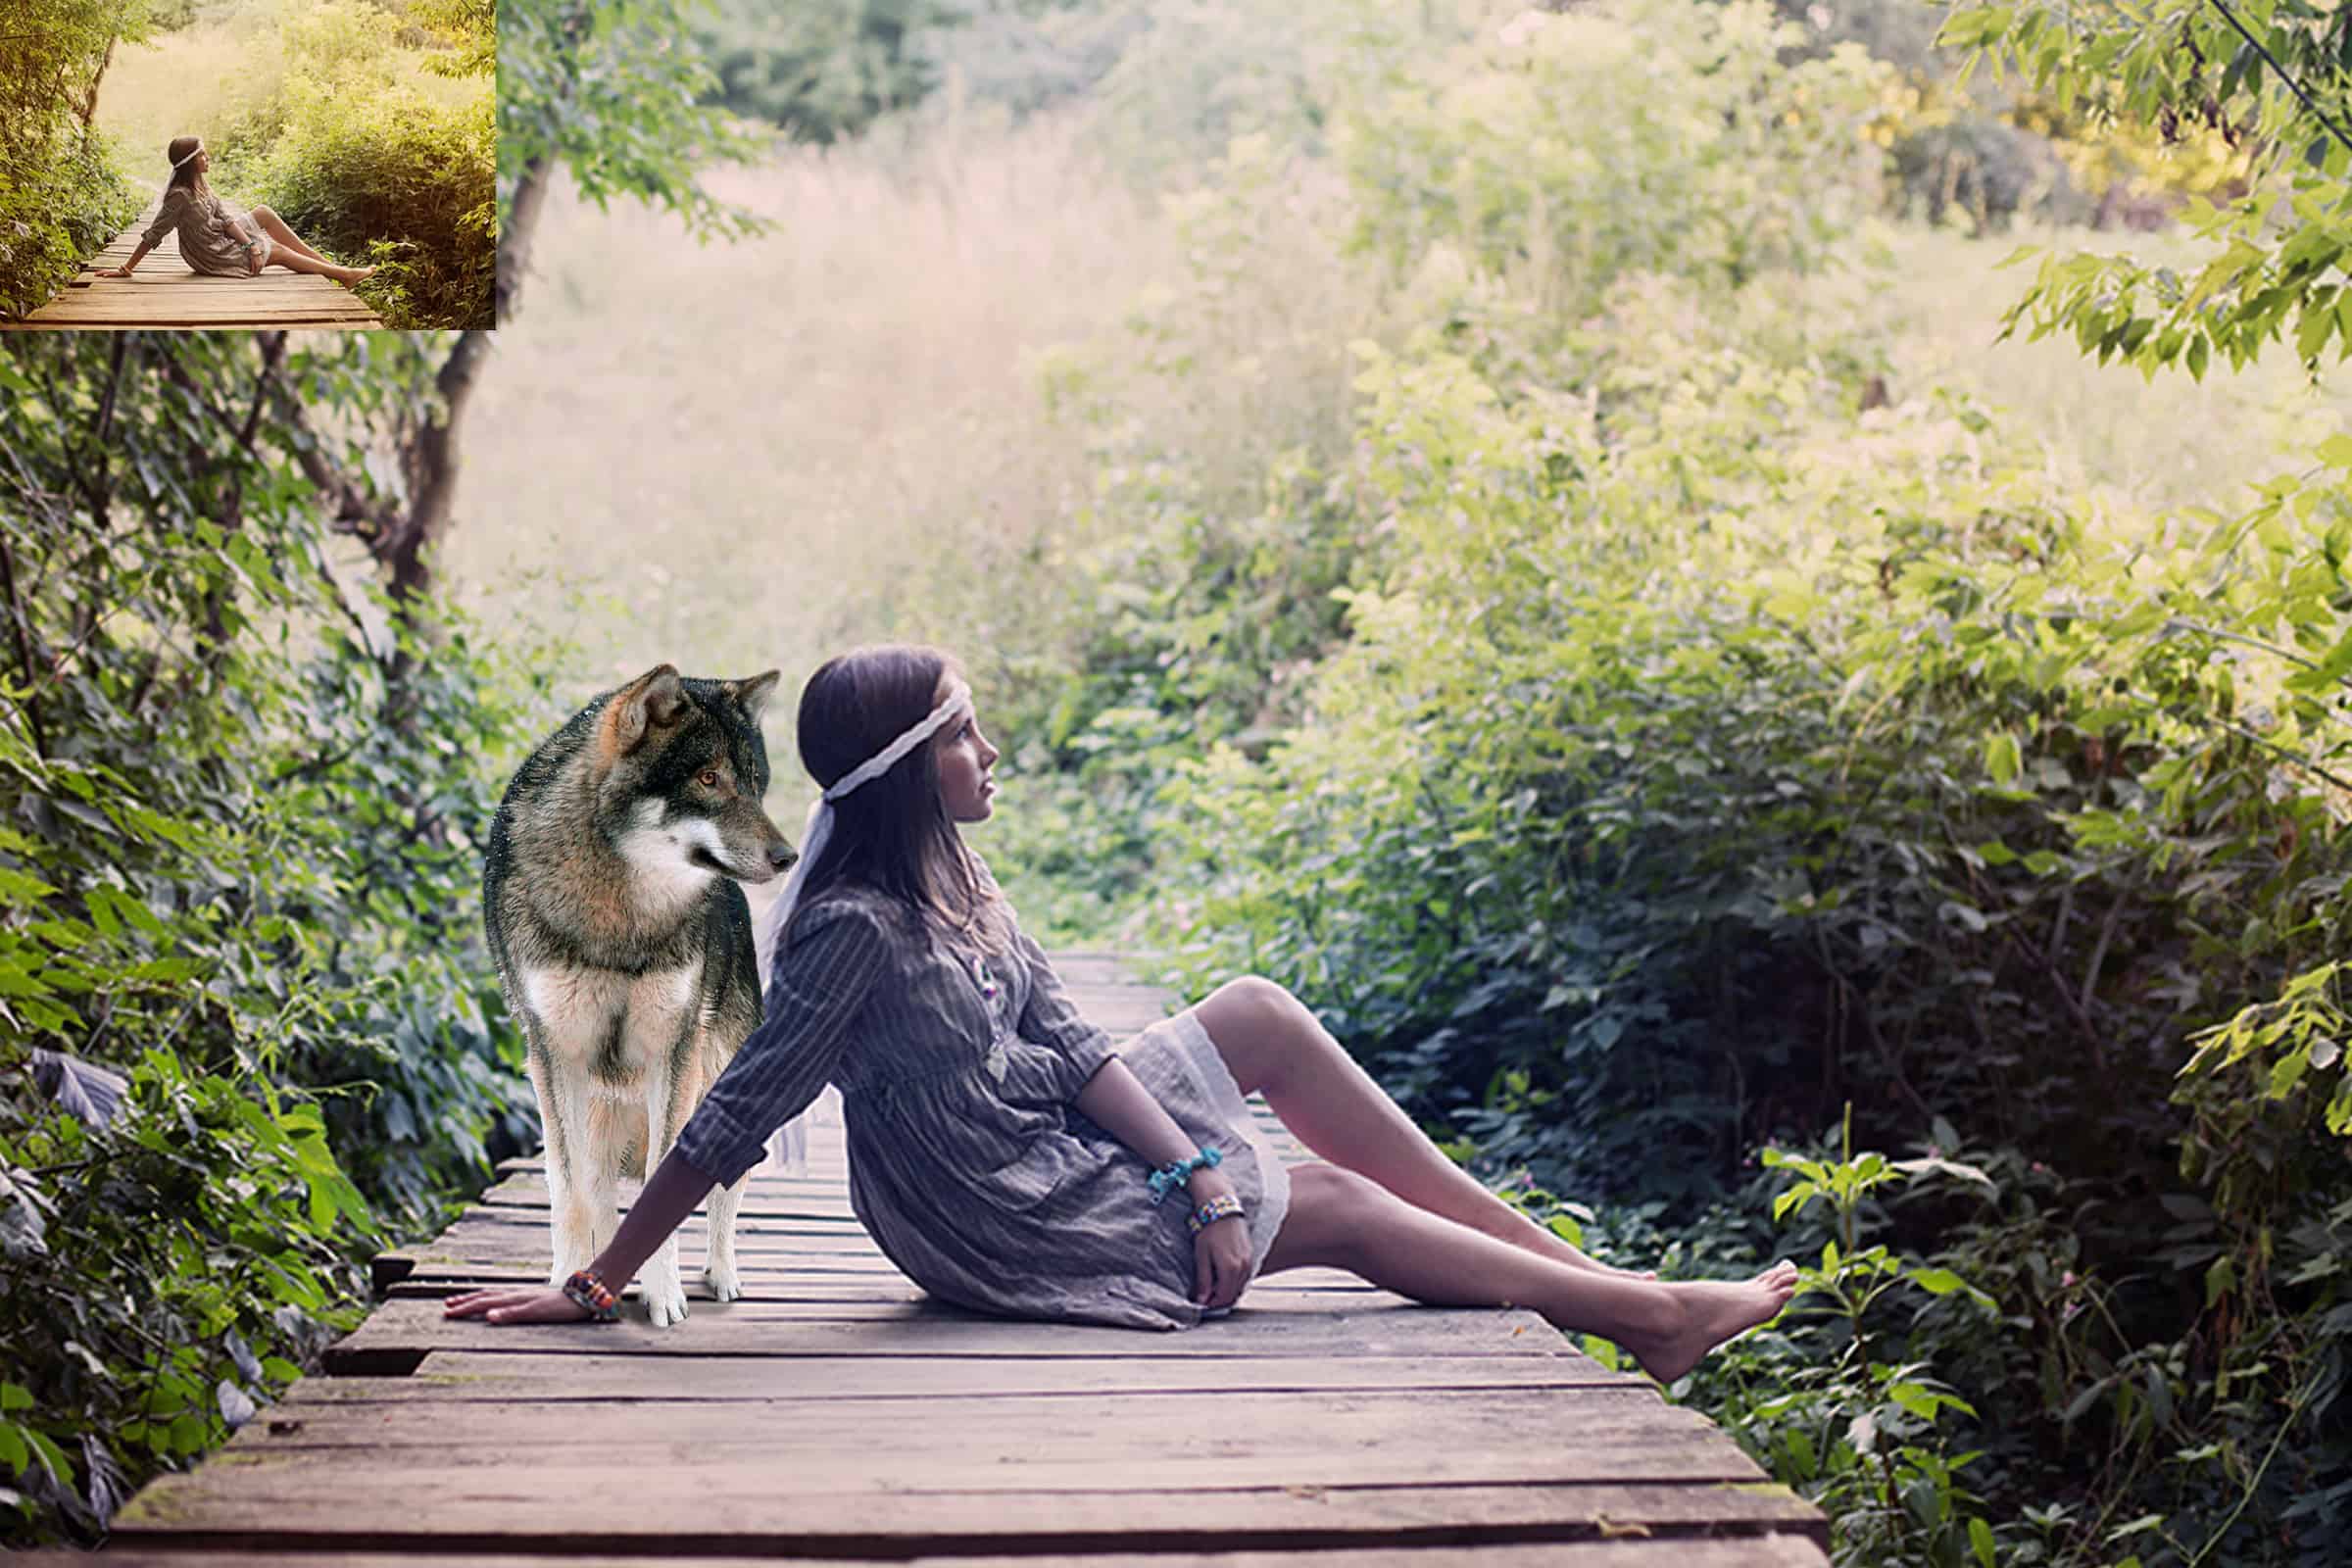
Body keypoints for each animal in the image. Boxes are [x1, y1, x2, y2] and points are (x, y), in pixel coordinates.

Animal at [482, 663, 795, 1327]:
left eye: (756, 785)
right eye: (709, 778)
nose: (788, 856)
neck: (619, 917)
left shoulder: (672, 1056)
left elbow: (662, 1189)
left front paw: (664, 1294)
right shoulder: (553, 1057)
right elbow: (568, 1193)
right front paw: (562, 1285)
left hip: (714, 1088)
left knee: (723, 1197)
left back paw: (721, 1277)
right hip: (600, 1113)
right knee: (600, 1197)